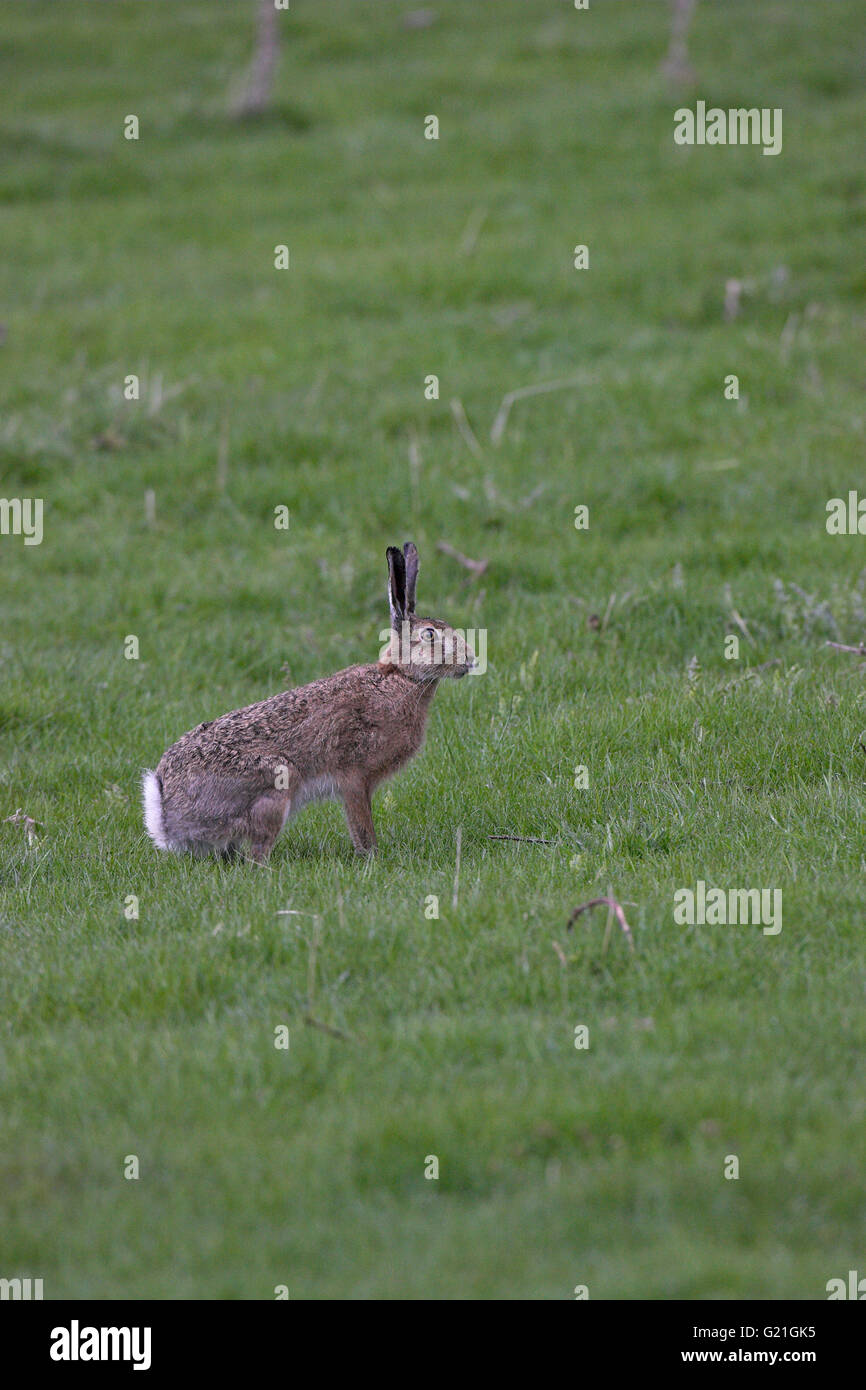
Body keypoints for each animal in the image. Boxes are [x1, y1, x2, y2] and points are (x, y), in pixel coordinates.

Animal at [142, 542, 476, 863]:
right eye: (429, 635)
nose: (470, 659)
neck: (401, 677)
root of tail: (166, 813)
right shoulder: (354, 777)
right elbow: (360, 823)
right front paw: (372, 857)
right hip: (276, 785)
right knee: (256, 855)